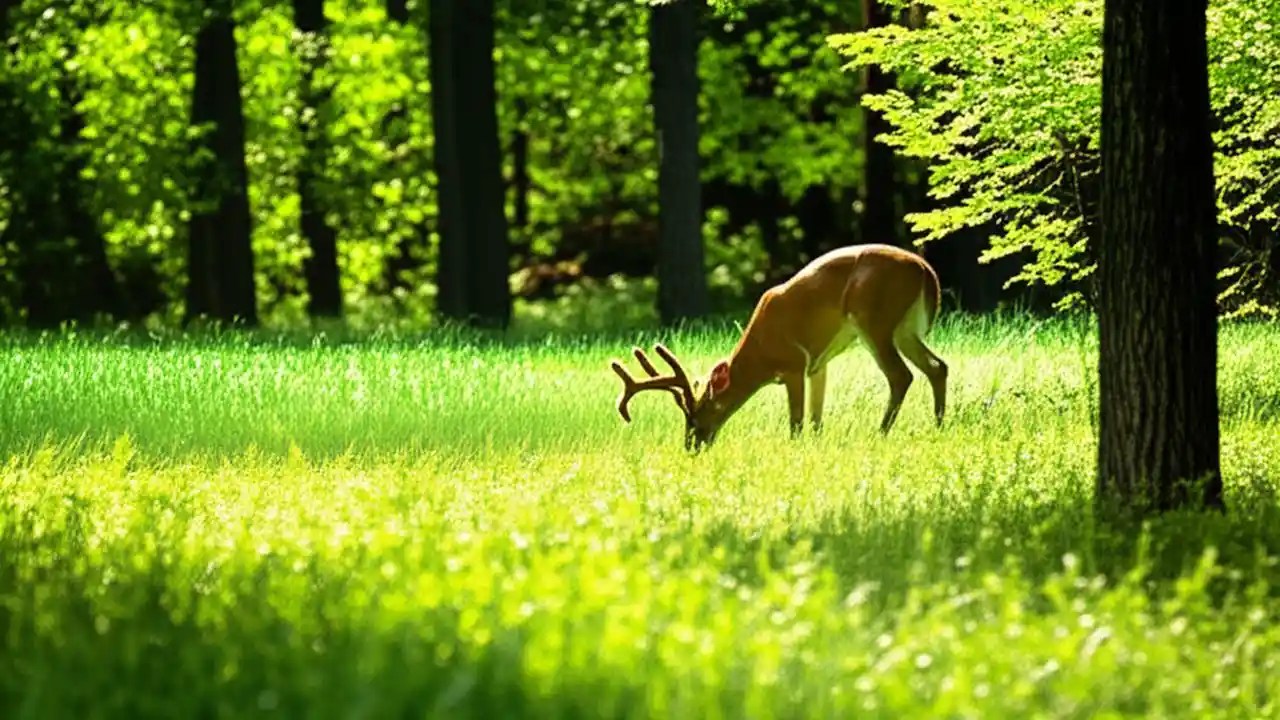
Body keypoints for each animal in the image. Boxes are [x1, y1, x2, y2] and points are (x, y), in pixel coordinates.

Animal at [609, 243, 948, 451]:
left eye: (696, 415)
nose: (692, 446)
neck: (760, 353)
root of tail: (925, 270)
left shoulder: (794, 364)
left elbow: (796, 421)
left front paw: (796, 448)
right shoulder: (818, 364)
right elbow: (816, 418)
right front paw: (817, 445)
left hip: (874, 320)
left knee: (901, 375)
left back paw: (881, 433)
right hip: (905, 328)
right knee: (938, 366)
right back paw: (939, 425)